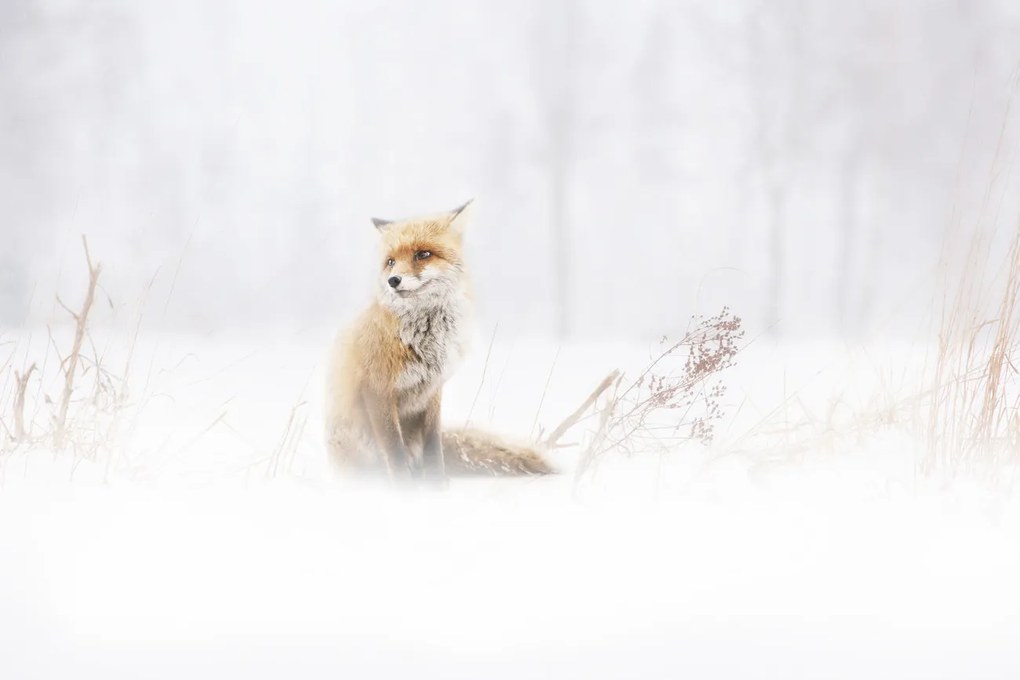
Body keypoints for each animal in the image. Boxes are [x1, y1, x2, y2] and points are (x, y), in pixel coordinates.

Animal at [324, 199, 550, 481]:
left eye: (423, 254)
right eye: (390, 262)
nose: (393, 281)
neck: (426, 343)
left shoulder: (433, 391)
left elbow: (433, 447)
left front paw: (437, 485)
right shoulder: (377, 391)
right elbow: (395, 453)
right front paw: (404, 488)